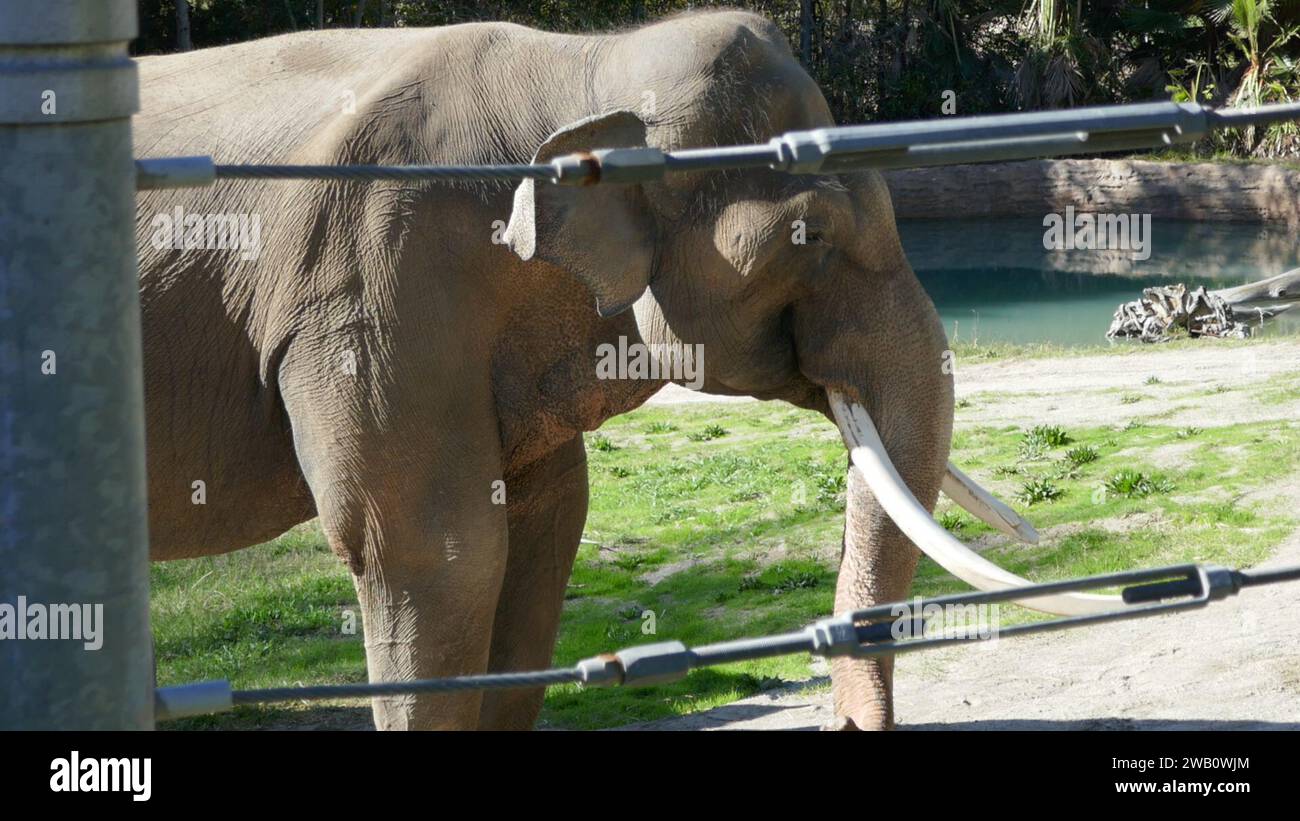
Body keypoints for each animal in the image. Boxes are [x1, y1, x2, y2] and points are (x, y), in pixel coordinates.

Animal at [135, 9, 1118, 731]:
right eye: (812, 236)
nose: (840, 722)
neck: (586, 66)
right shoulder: (368, 295)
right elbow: (434, 548)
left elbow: (542, 529)